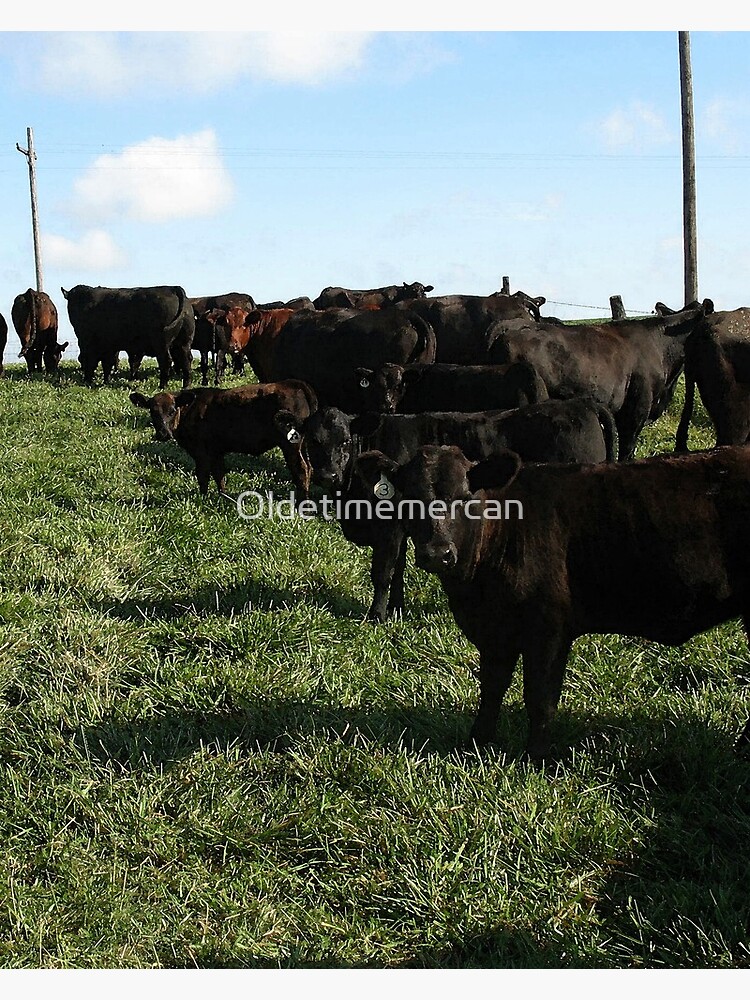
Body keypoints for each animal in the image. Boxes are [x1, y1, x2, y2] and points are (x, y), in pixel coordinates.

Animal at [61, 284, 196, 388]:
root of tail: (172, 288)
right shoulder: (109, 347)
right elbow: (107, 363)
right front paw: (106, 381)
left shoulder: (88, 342)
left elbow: (91, 361)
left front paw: (88, 381)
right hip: (184, 342)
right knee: (186, 359)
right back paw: (186, 385)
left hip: (161, 343)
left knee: (166, 361)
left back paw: (162, 385)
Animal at [130, 379, 318, 497]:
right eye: (153, 412)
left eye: (172, 410)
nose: (163, 434)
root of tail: (291, 383)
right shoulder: (217, 451)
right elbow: (219, 474)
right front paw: (223, 496)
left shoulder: (201, 451)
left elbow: (203, 475)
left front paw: (203, 498)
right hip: (301, 443)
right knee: (309, 468)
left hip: (290, 444)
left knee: (301, 469)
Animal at [275, 396, 617, 622]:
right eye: (312, 441)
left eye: (346, 440)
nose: (327, 475)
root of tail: (579, 404)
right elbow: (399, 569)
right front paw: (397, 610)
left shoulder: (389, 526)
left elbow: (383, 571)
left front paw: (376, 616)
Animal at [354, 442, 750, 762]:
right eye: (409, 501)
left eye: (465, 497)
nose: (438, 553)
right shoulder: (495, 630)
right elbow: (491, 688)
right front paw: (476, 744)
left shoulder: (548, 628)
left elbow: (540, 698)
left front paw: (536, 759)